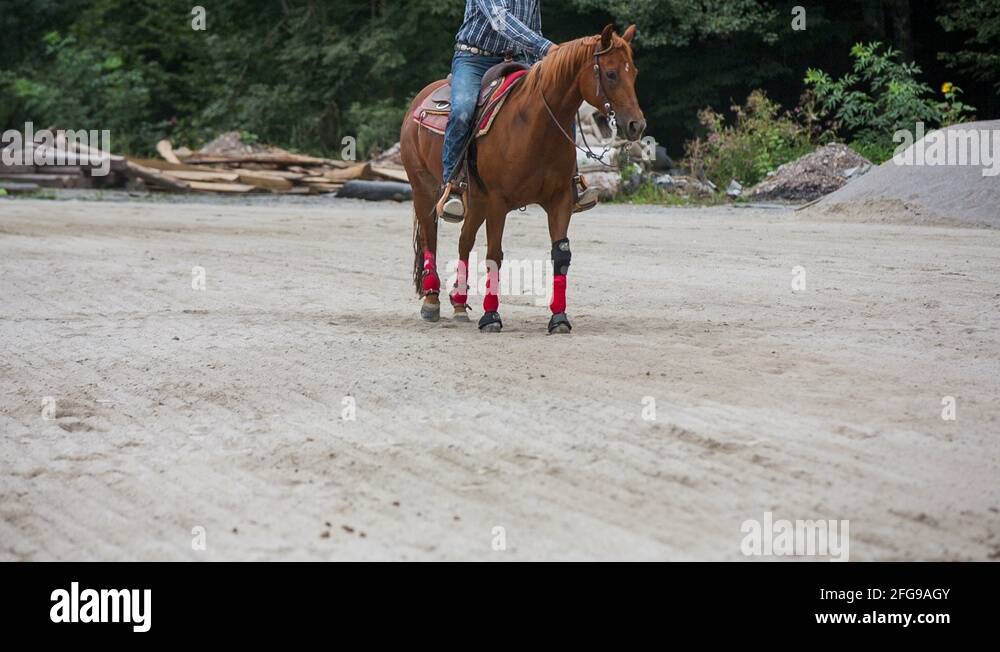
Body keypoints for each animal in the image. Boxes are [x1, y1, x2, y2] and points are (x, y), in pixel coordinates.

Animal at [400, 24, 645, 333]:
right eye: (611, 73)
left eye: (633, 72)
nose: (637, 124)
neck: (533, 125)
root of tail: (419, 101)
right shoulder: (497, 202)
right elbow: (494, 254)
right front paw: (491, 317)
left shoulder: (559, 200)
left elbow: (561, 255)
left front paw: (559, 318)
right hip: (424, 189)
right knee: (429, 238)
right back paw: (432, 301)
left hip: (475, 200)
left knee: (464, 241)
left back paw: (459, 304)